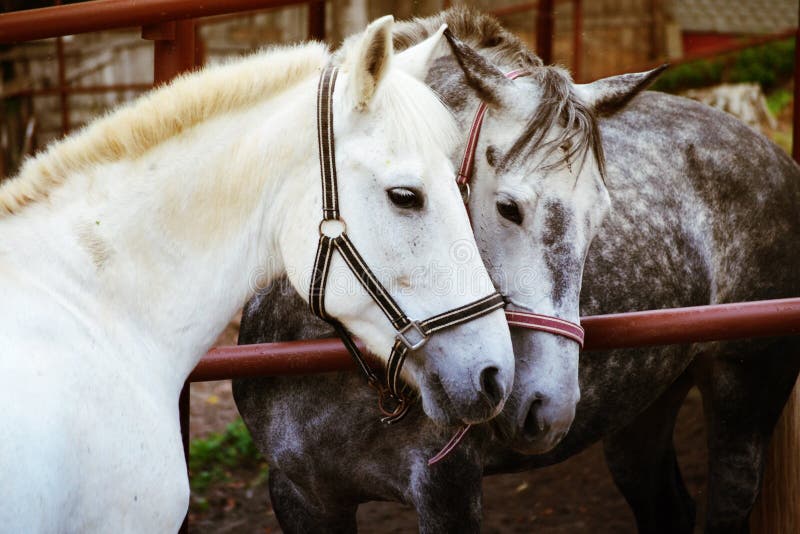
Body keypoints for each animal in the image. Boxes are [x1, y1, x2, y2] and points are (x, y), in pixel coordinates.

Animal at [233, 8, 800, 534]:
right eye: (508, 207)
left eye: (600, 217)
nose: (550, 408)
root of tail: (776, 155)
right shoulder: (300, 496)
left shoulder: (448, 491)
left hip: (744, 400)